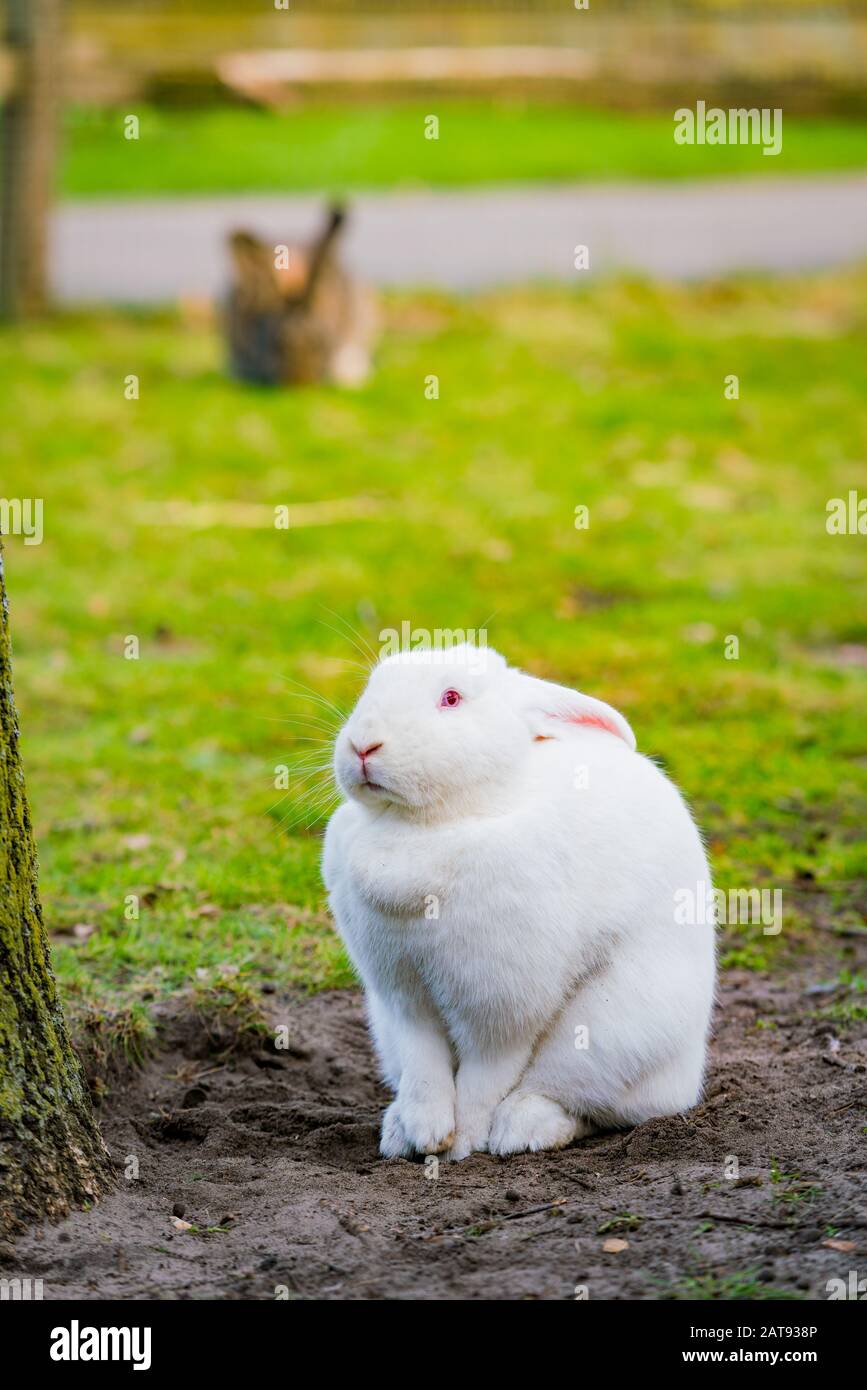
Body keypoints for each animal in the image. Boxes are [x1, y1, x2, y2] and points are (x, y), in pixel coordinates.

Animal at [322, 643, 716, 1160]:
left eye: (452, 698)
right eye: (371, 687)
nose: (364, 746)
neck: (433, 823)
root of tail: (687, 1076)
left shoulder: (503, 1007)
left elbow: (484, 1079)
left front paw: (462, 1146)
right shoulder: (401, 997)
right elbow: (424, 1063)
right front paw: (426, 1132)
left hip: (611, 1038)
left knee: (582, 1103)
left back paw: (522, 1130)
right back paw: (397, 1131)